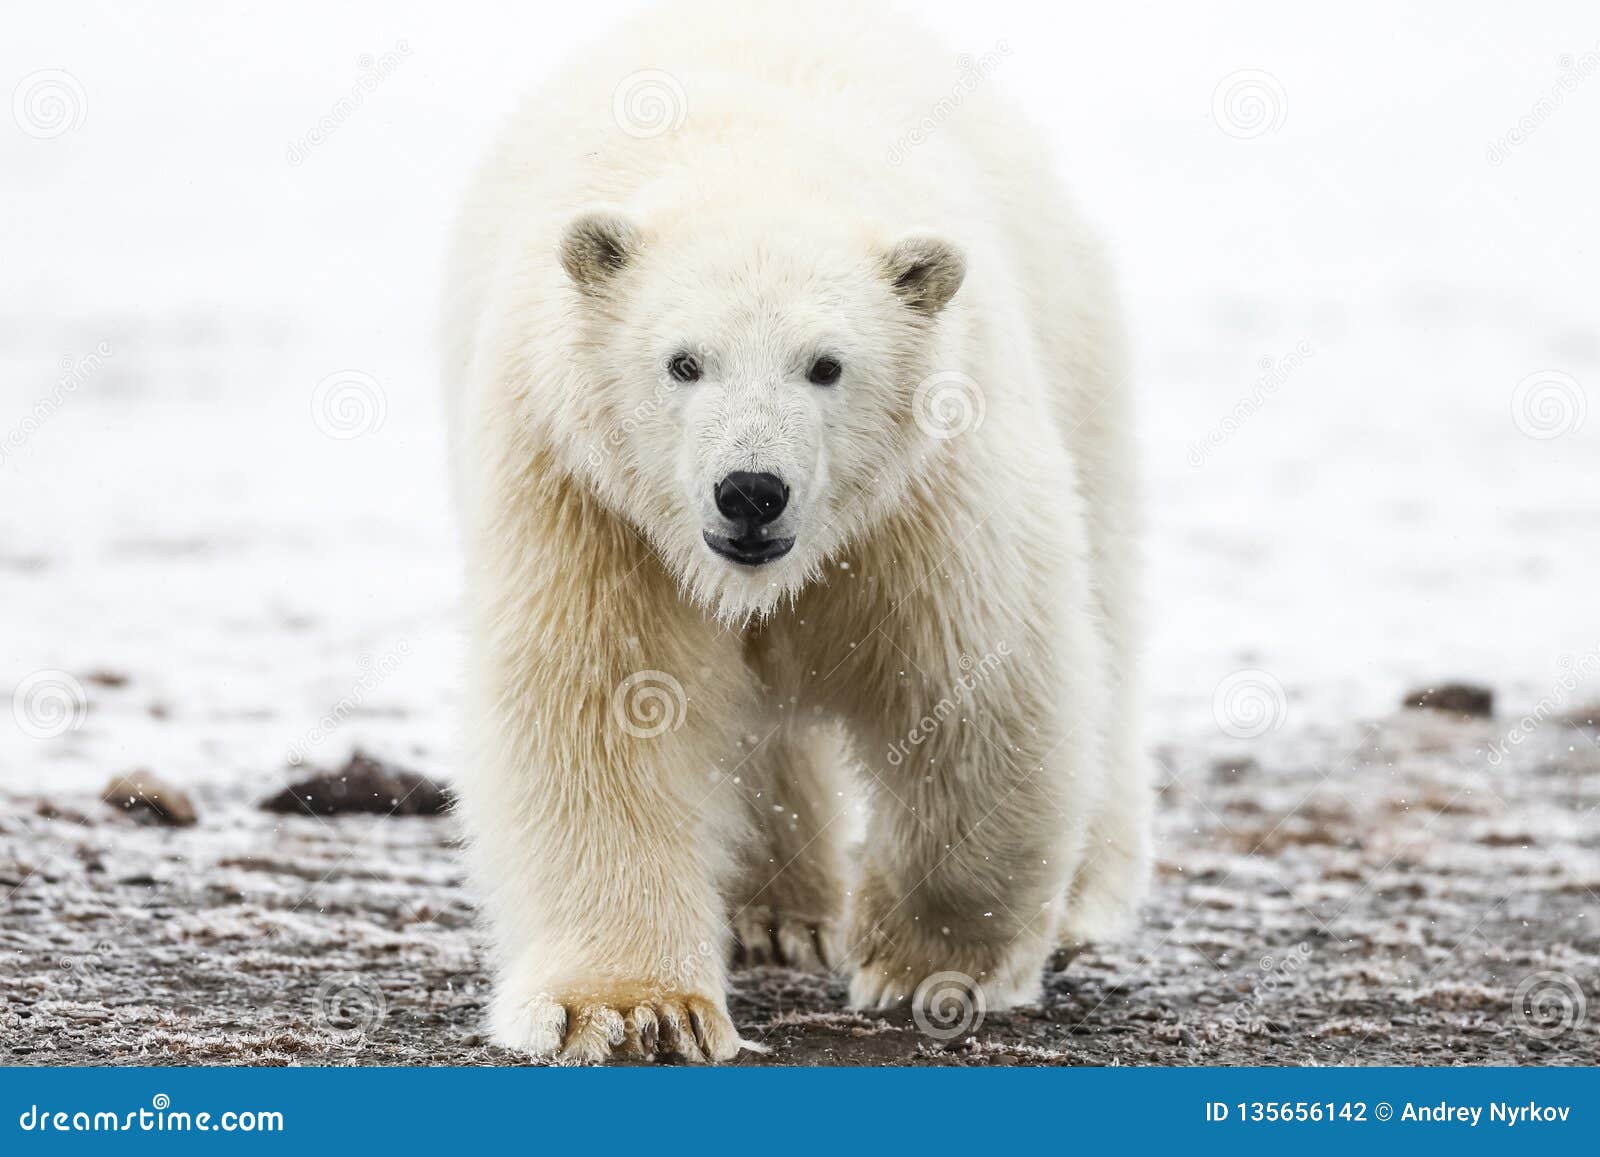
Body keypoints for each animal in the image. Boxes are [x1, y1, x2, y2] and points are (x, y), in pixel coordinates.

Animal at [442, 0, 1149, 1062]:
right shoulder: (585, 494)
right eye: (682, 361)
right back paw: (774, 913)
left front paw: (927, 968)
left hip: (1081, 359)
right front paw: (634, 1008)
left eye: (826, 364)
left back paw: (1077, 896)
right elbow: (602, 703)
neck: (752, 161)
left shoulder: (924, 493)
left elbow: (976, 683)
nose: (750, 491)